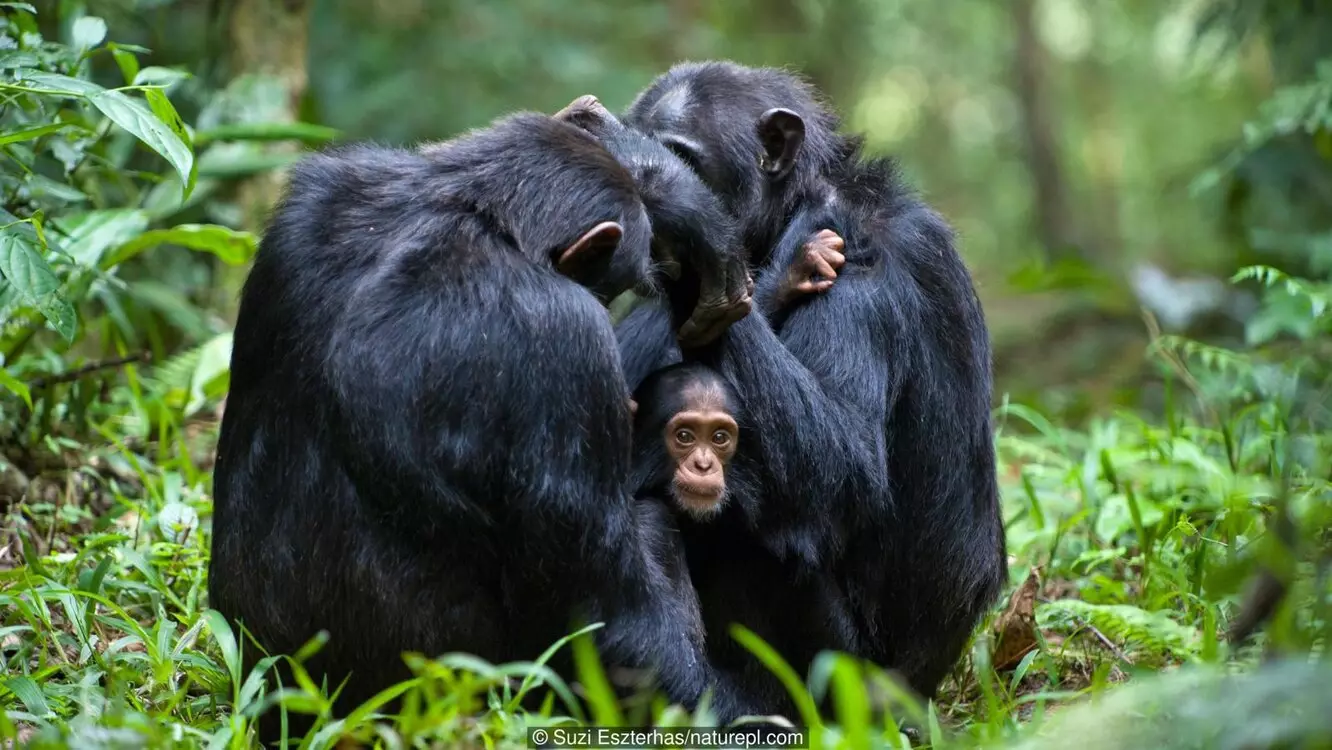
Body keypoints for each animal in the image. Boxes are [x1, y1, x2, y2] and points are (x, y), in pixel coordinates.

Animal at [213, 108, 767, 740]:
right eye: (606, 288)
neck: (473, 215)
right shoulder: (567, 341)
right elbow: (612, 623)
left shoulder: (317, 200)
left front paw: (658, 177)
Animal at [610, 60, 1001, 708]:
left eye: (682, 156)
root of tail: (920, 694)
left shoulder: (858, 259)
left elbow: (847, 462)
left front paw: (666, 189)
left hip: (849, 673)